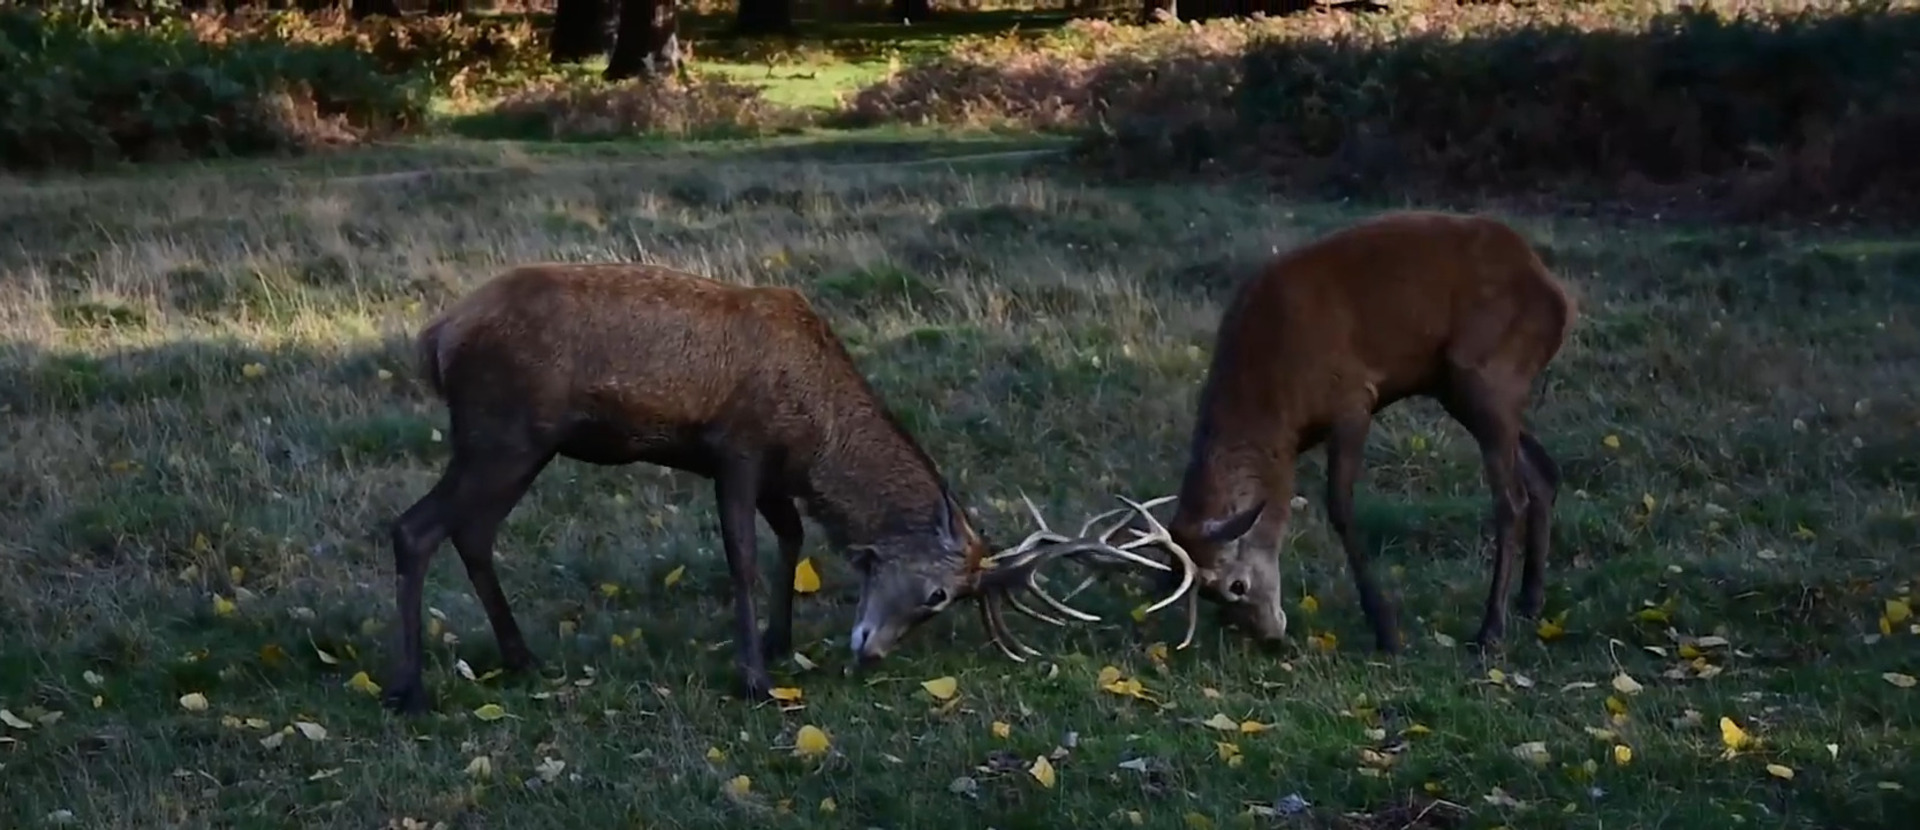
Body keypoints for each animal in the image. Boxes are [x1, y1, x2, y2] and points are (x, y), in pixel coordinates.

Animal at [378, 261, 1191, 714]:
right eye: (937, 596)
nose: (871, 655)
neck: (814, 435)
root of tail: (438, 336)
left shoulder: (774, 475)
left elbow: (793, 538)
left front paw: (780, 640)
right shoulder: (736, 450)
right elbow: (740, 556)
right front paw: (756, 678)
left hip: (523, 446)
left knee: (471, 531)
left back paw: (521, 658)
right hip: (503, 431)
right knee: (415, 527)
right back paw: (411, 690)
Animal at [1075, 211, 1579, 656]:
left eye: (1236, 584)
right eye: (1211, 600)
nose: (1270, 637)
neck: (1279, 406)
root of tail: (1559, 297)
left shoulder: (1353, 398)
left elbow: (1339, 507)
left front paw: (1387, 632)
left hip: (1483, 371)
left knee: (1510, 498)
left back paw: (1490, 631)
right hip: (1459, 387)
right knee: (1544, 472)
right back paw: (1530, 601)